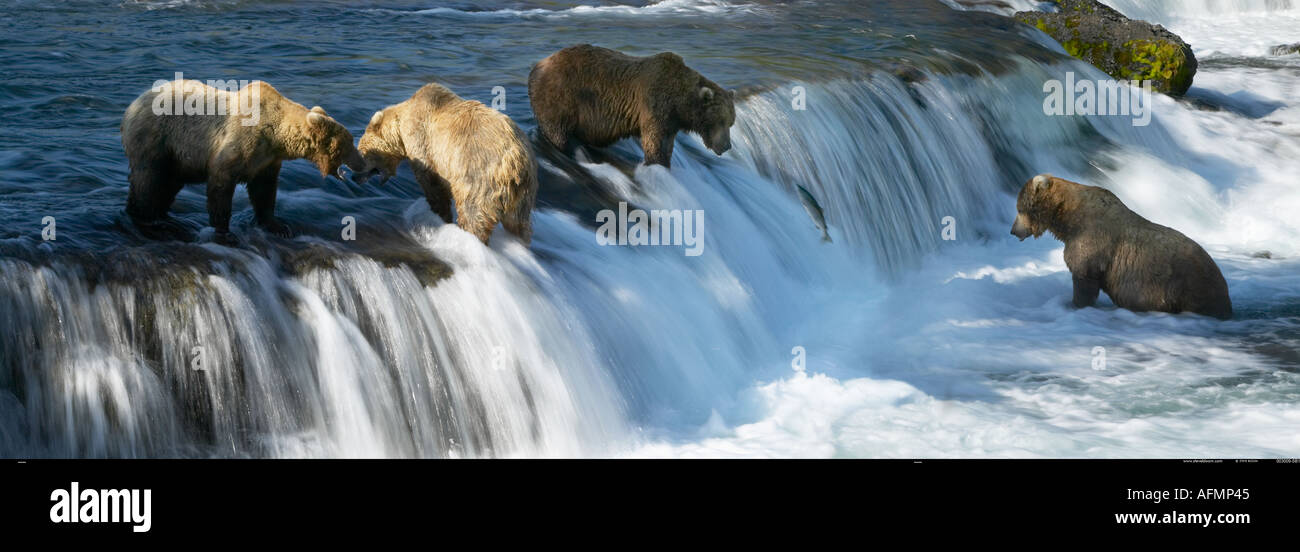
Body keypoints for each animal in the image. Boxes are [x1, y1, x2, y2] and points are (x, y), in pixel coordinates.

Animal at [121, 79, 364, 242]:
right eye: (349, 142)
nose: (362, 160)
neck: (276, 137)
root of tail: (130, 106)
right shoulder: (238, 143)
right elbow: (221, 183)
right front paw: (224, 231)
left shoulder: (266, 160)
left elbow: (264, 191)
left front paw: (278, 226)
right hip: (156, 139)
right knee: (148, 180)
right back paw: (147, 219)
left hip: (177, 158)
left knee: (168, 184)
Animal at [351, 82, 538, 246]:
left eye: (361, 153)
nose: (353, 177)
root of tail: (515, 158)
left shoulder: (424, 143)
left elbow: (432, 184)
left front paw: (440, 214)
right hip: (524, 193)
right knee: (519, 223)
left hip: (479, 175)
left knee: (473, 213)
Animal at [528, 44, 736, 168]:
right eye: (721, 120)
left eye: (731, 122)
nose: (727, 146)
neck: (680, 103)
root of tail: (538, 65)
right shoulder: (654, 104)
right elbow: (654, 141)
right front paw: (656, 163)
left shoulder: (671, 120)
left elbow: (667, 143)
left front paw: (665, 162)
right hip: (560, 96)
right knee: (558, 131)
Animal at [1011, 174, 1232, 319]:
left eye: (1019, 208)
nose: (1013, 230)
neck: (1069, 220)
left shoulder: (1092, 242)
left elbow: (1084, 278)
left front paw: (1075, 305)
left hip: (1185, 285)